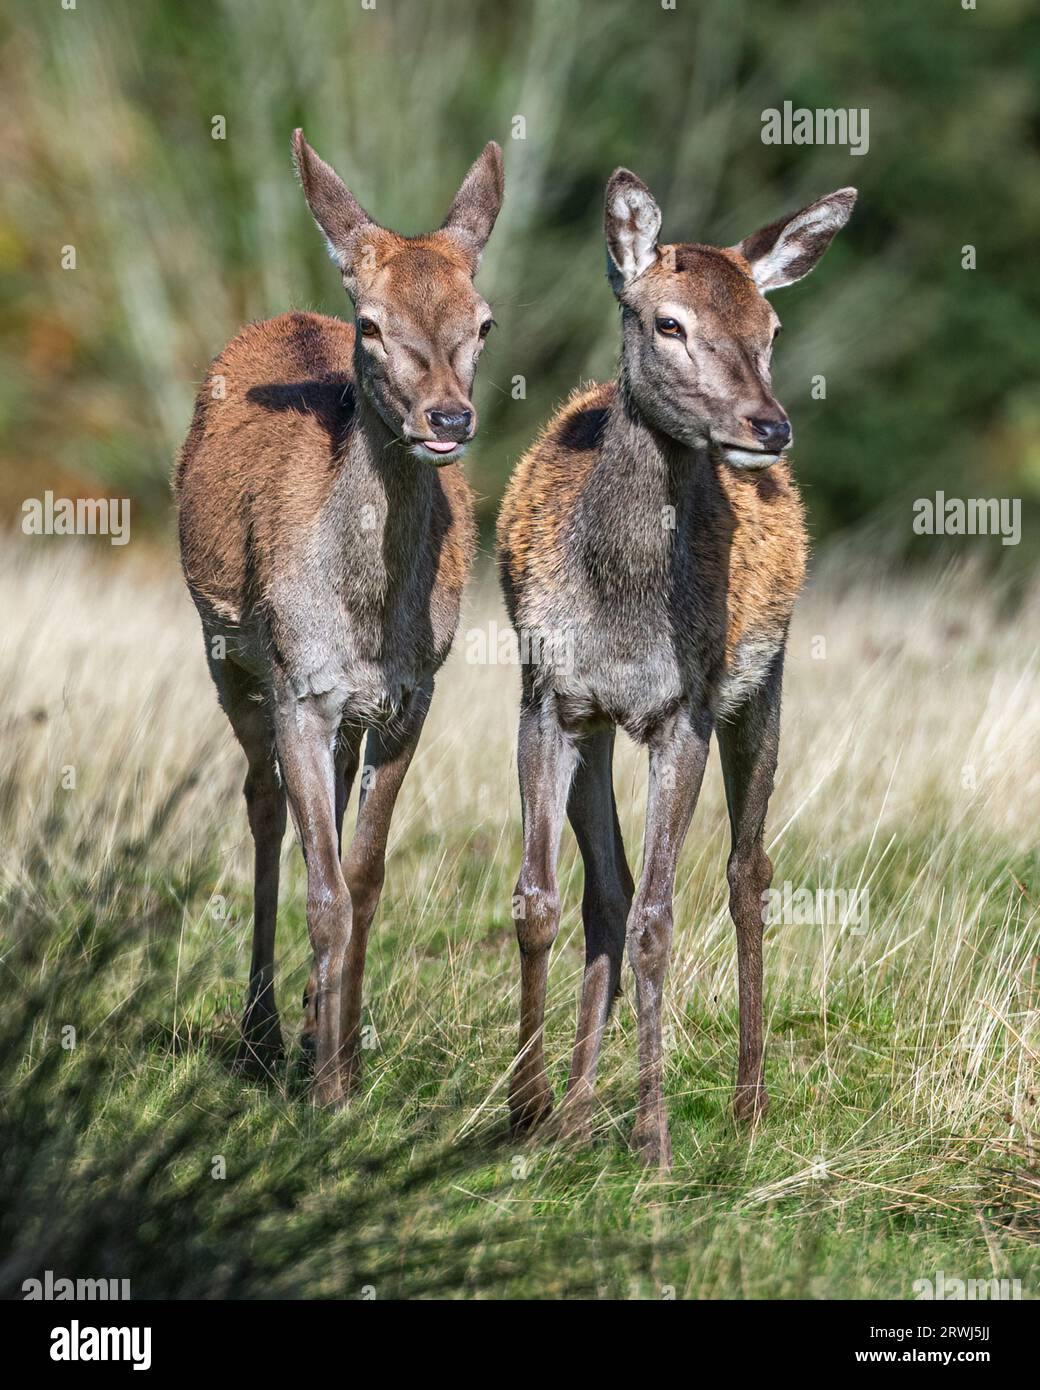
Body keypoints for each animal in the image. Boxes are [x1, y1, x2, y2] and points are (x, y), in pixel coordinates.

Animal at [175, 129, 504, 1106]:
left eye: (483, 323)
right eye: (370, 324)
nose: (447, 418)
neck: (363, 619)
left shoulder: (411, 695)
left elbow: (364, 881)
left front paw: (349, 1062)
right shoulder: (298, 684)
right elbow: (323, 889)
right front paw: (323, 1092)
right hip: (229, 657)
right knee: (262, 806)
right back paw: (262, 1034)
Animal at [497, 169, 855, 1167]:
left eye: (770, 326)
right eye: (669, 323)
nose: (768, 427)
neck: (620, 612)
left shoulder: (685, 710)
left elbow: (661, 920)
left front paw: (653, 1140)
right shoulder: (549, 697)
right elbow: (543, 901)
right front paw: (527, 1112)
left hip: (763, 688)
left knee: (747, 873)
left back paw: (747, 1102)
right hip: (599, 728)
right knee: (606, 894)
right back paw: (578, 1113)